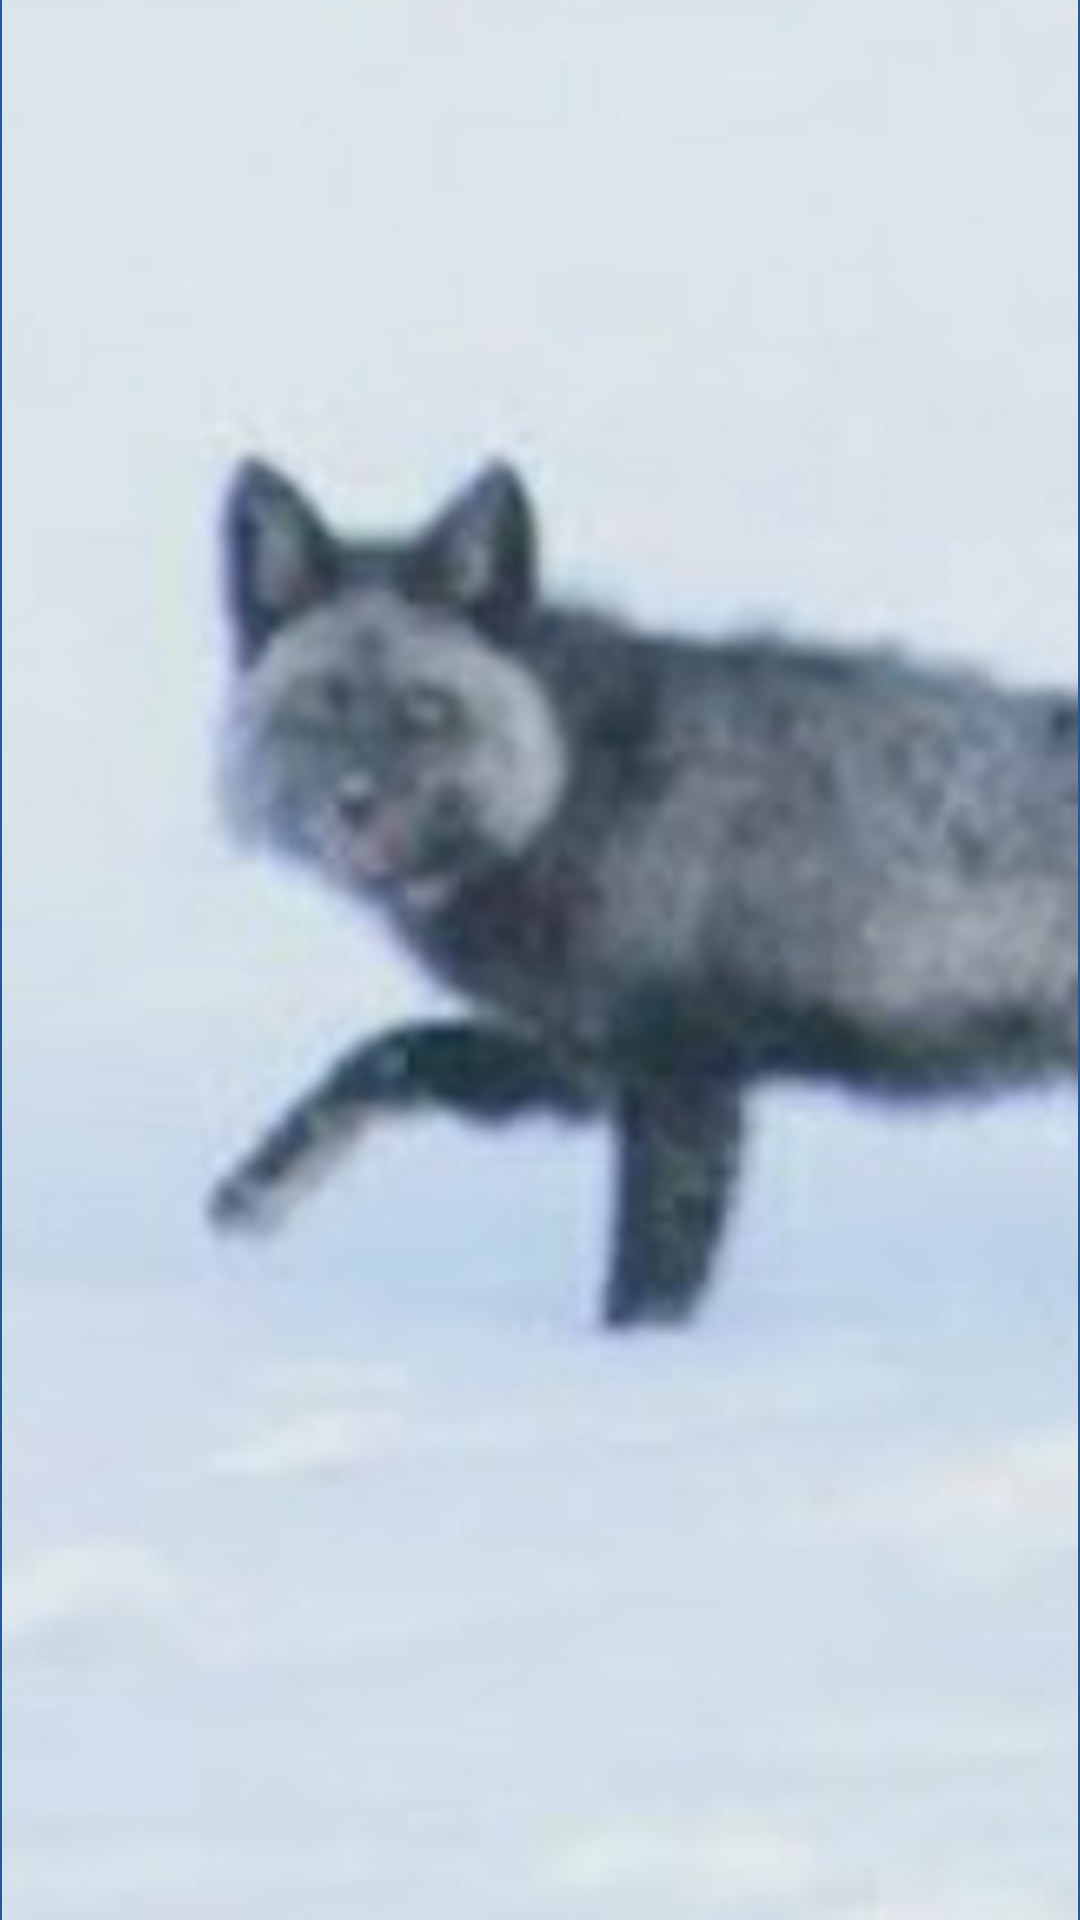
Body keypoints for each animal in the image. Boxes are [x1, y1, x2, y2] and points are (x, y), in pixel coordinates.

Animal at [209, 458, 1078, 1329]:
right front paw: (257, 1189)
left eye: (427, 708)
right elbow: (385, 1056)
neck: (572, 789)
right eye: (320, 704)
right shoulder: (582, 1062)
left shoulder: (681, 1073)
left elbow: (648, 1280)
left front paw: (633, 1363)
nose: (354, 804)